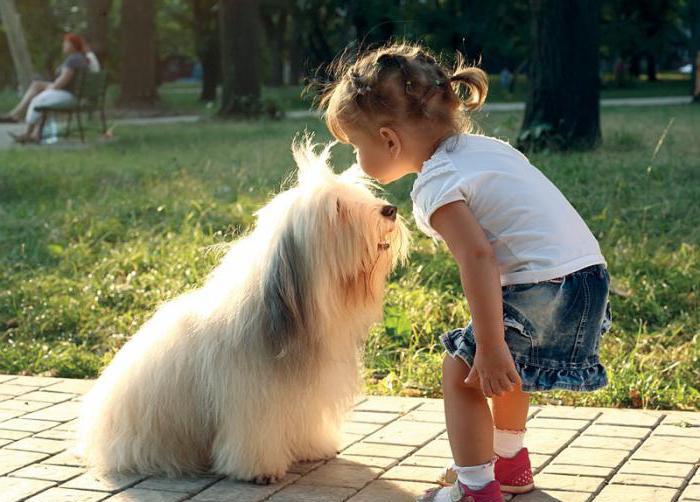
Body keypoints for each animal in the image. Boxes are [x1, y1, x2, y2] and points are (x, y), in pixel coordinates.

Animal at [74, 139, 408, 484]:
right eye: (339, 209)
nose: (390, 210)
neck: (295, 317)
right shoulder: (252, 398)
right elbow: (255, 435)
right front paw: (260, 470)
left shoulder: (303, 398)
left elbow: (304, 424)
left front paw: (312, 447)